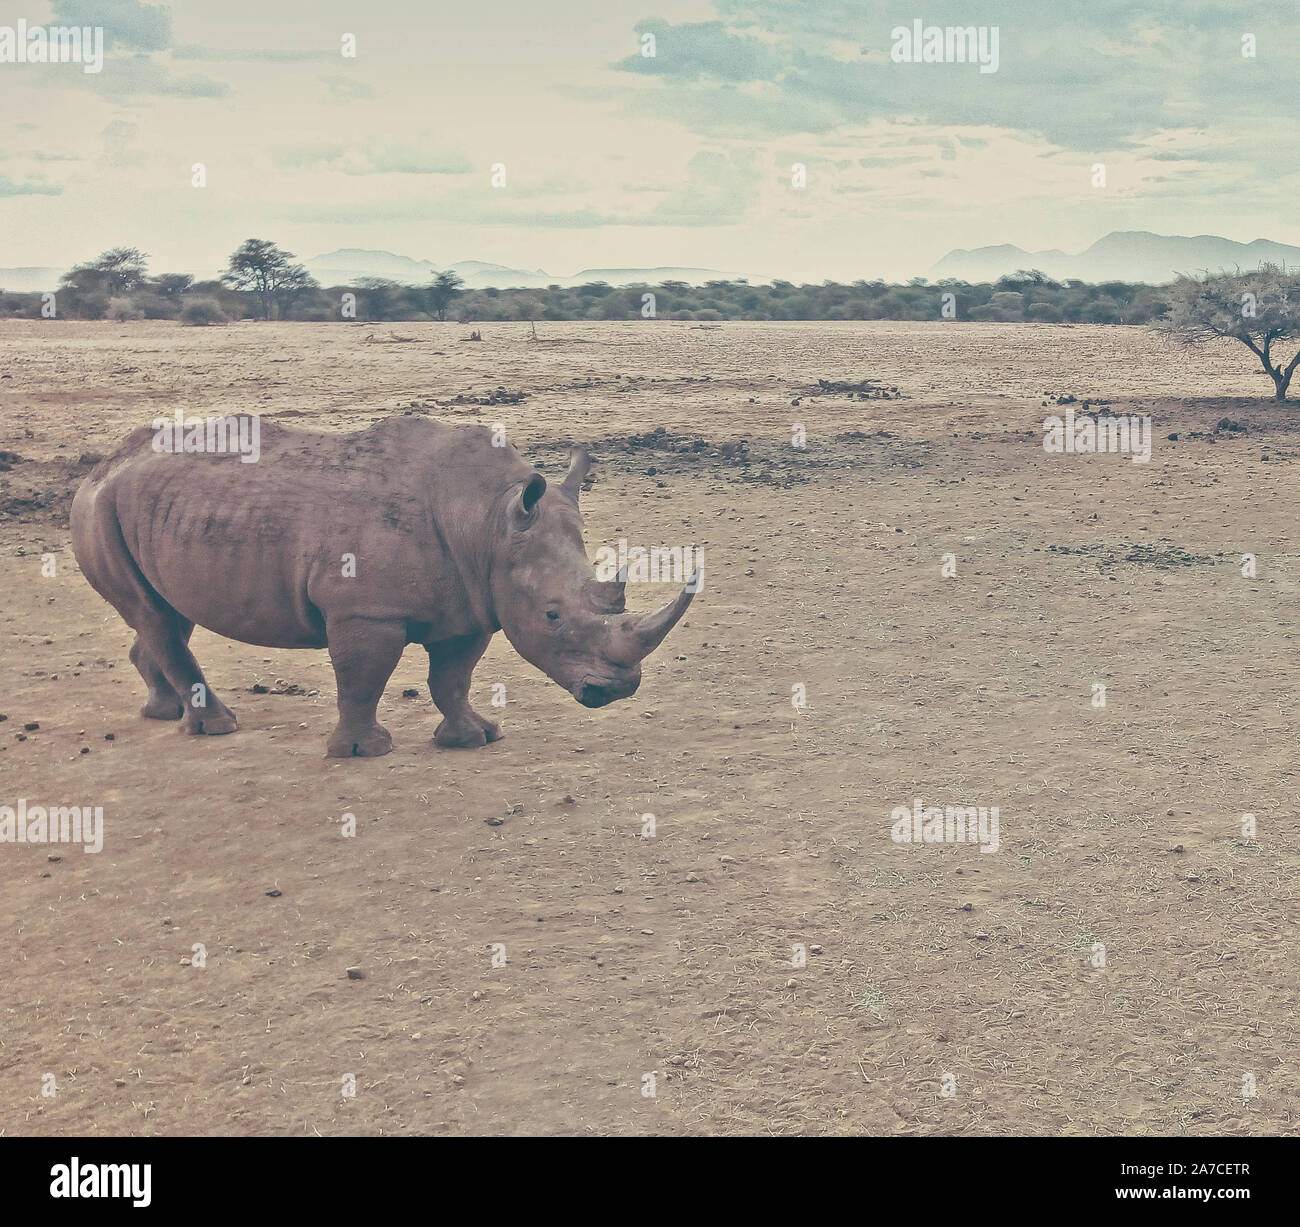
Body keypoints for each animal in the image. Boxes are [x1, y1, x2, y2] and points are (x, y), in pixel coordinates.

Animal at [69, 414, 697, 756]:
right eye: (552, 616)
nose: (617, 691)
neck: (488, 519)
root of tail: (103, 465)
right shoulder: (364, 608)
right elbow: (363, 677)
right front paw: (361, 752)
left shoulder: (474, 601)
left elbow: (453, 677)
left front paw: (477, 738)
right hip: (98, 508)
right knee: (155, 617)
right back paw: (216, 728)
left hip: (156, 512)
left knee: (165, 614)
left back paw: (164, 713)